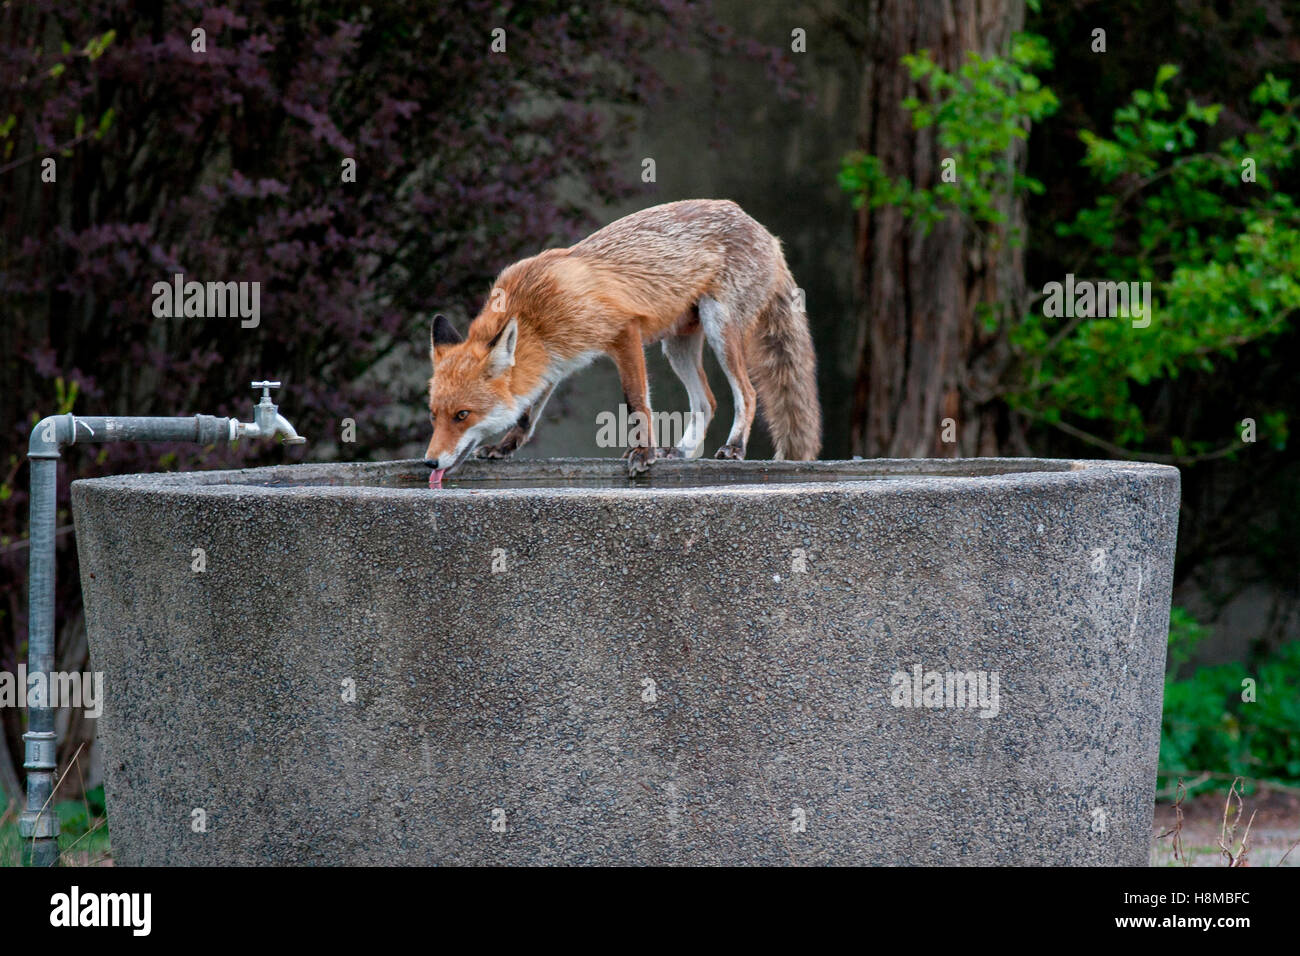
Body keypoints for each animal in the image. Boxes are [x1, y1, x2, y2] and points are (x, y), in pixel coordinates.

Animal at [422, 199, 821, 483]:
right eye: (434, 416)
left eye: (462, 415)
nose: (429, 462)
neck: (534, 316)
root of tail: (764, 231)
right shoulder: (551, 364)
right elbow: (525, 416)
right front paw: (505, 448)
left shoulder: (624, 332)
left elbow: (636, 403)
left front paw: (643, 454)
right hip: (678, 345)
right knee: (706, 402)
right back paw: (683, 452)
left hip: (719, 326)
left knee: (747, 394)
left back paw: (734, 447)